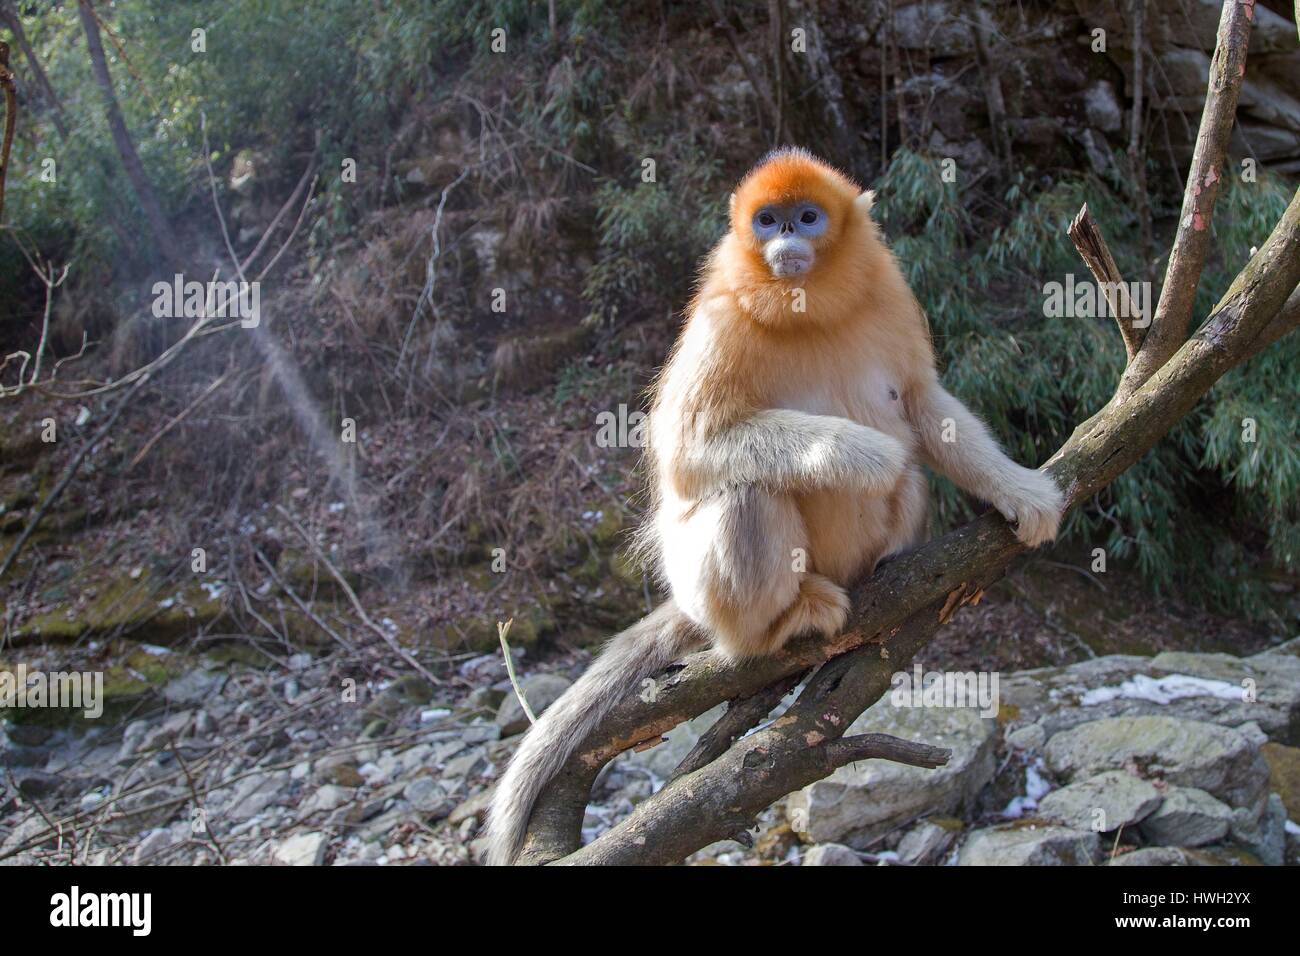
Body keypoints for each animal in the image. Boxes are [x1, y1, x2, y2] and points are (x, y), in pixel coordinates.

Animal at [483, 148, 1064, 865]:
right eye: (767, 220)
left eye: (807, 216)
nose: (785, 236)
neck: (808, 307)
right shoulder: (721, 318)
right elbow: (688, 456)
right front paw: (858, 452)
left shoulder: (890, 294)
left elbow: (924, 405)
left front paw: (1018, 489)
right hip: (709, 589)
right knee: (747, 492)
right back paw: (778, 625)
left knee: (905, 482)